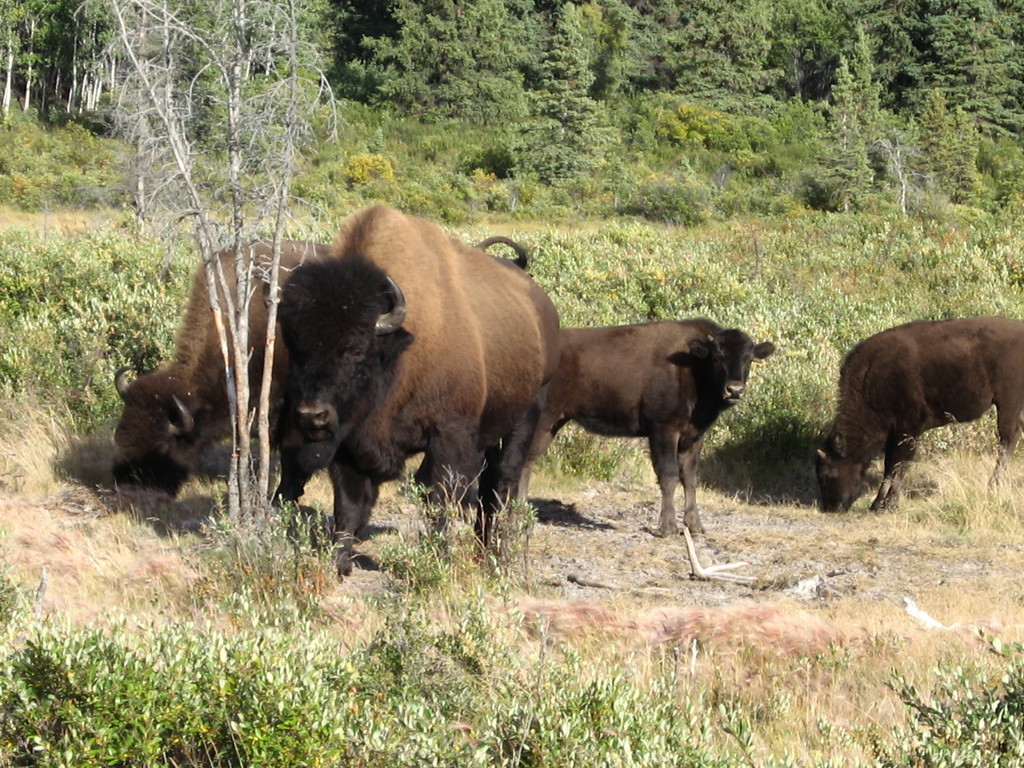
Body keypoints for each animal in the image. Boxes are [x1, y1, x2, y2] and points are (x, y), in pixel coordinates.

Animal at [274, 205, 560, 577]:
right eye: (297, 348)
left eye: (355, 348)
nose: (312, 415)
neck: (398, 353)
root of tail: (542, 308)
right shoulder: (350, 446)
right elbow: (348, 506)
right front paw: (339, 563)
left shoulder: (448, 438)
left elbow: (439, 499)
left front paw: (437, 561)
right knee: (487, 488)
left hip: (527, 411)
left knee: (503, 483)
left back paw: (494, 556)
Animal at [518, 319, 775, 537]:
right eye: (717, 357)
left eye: (749, 358)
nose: (734, 390)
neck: (692, 367)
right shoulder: (664, 430)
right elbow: (669, 475)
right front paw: (668, 527)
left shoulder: (693, 436)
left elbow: (690, 477)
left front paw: (695, 526)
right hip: (544, 419)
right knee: (526, 460)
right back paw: (518, 510)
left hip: (553, 423)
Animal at [817, 316, 1024, 512]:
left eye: (828, 473)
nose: (830, 508)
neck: (869, 379)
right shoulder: (895, 433)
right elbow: (890, 465)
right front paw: (879, 503)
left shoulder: (908, 429)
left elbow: (898, 464)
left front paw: (886, 504)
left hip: (1008, 403)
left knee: (1008, 439)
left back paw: (992, 486)